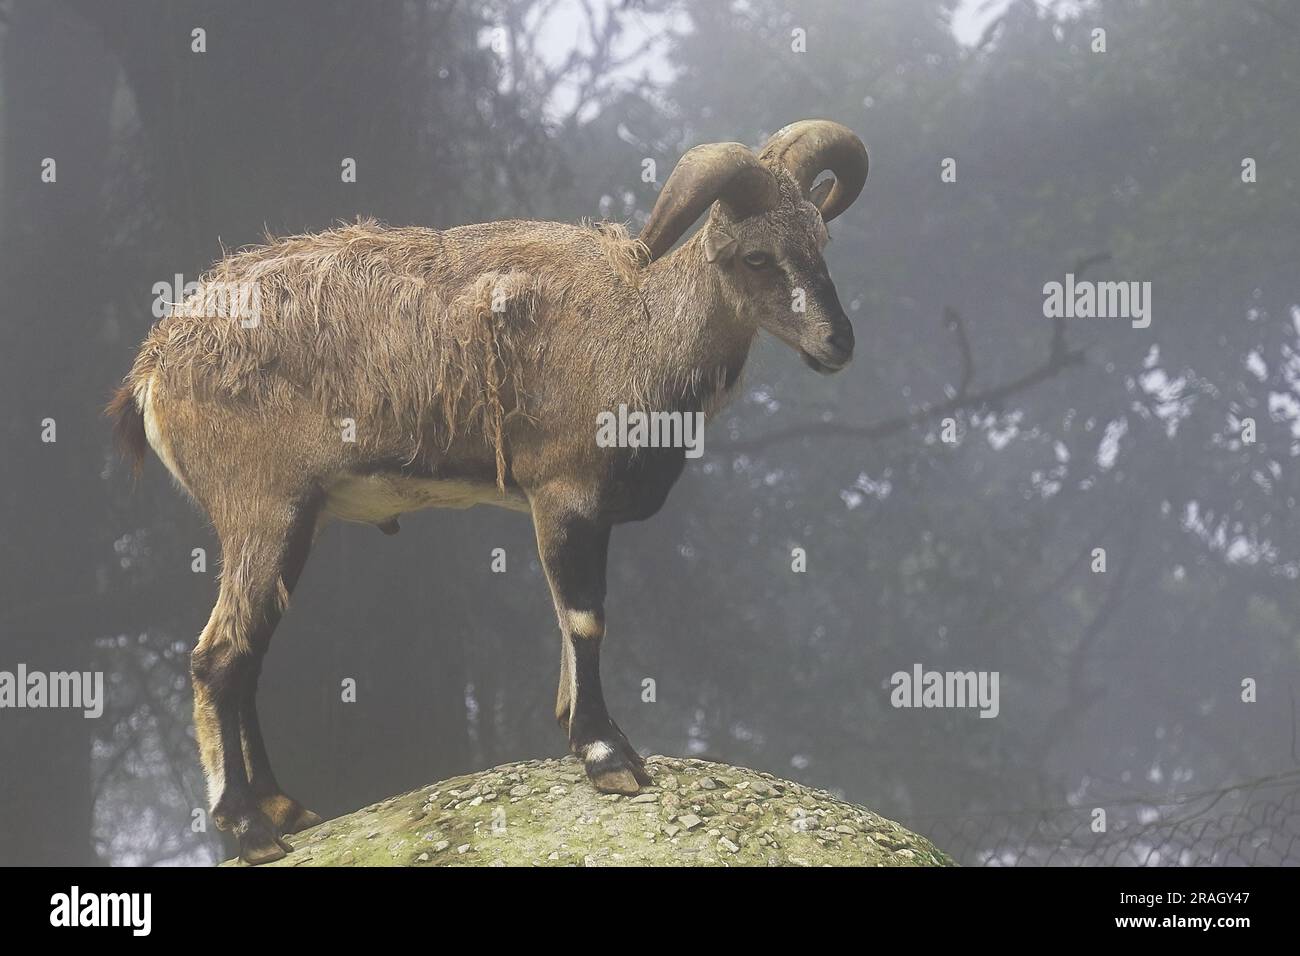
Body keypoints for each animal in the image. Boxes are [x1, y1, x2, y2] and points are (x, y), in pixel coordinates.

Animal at [108, 119, 869, 864]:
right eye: (757, 257)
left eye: (819, 241)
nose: (839, 343)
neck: (641, 329)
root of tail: (154, 368)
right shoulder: (565, 494)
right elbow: (585, 619)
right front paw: (607, 756)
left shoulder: (560, 510)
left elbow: (565, 616)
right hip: (264, 512)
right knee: (218, 655)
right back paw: (248, 826)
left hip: (297, 520)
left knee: (250, 652)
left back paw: (282, 806)